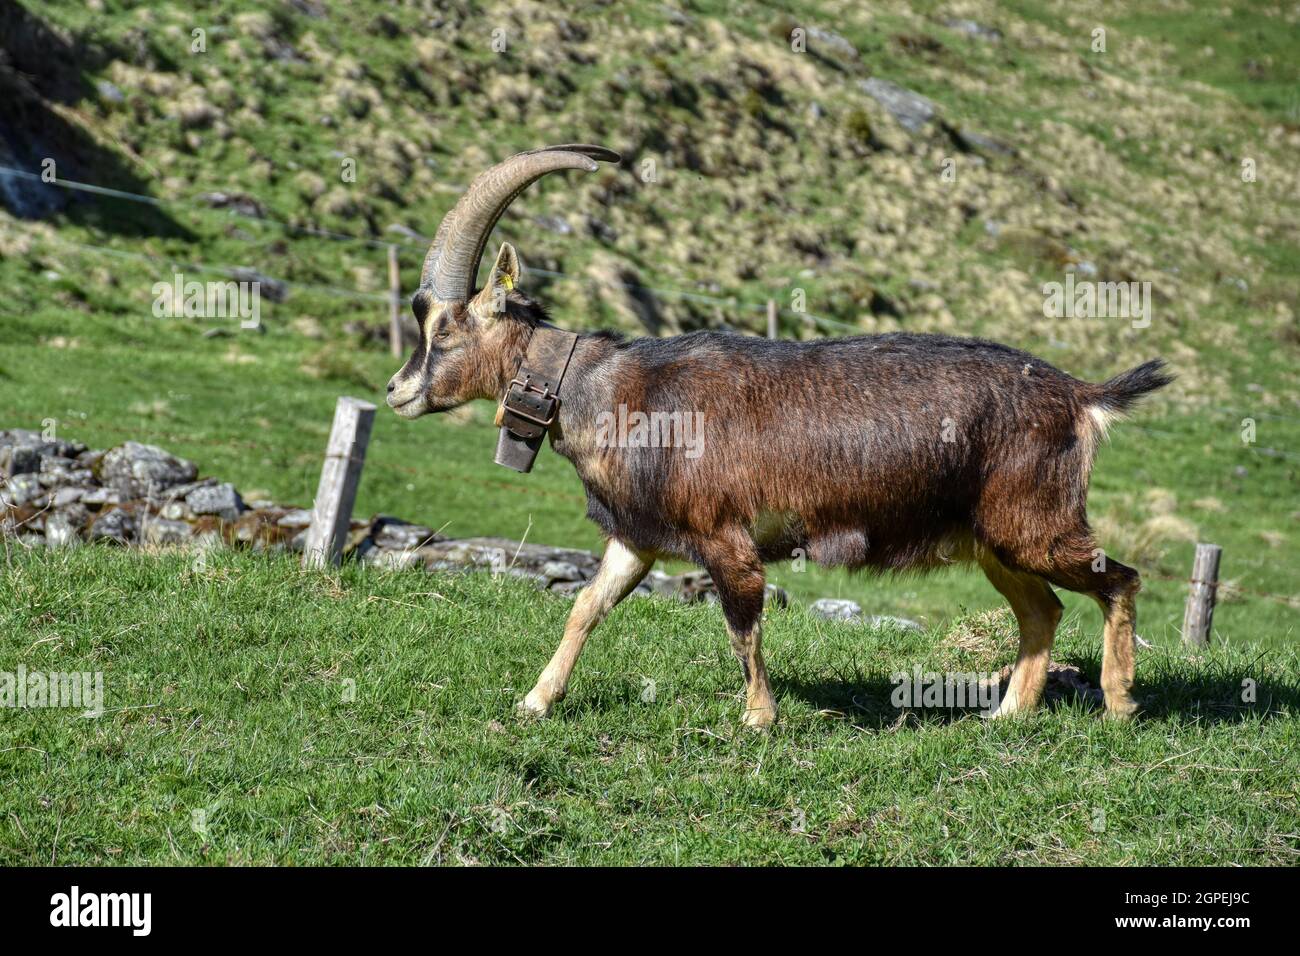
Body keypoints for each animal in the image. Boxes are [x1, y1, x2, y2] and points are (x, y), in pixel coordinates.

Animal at [387, 144, 1173, 728]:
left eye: (445, 329)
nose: (397, 390)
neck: (612, 391)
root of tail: (1081, 396)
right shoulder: (636, 536)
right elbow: (586, 606)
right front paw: (536, 700)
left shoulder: (723, 535)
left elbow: (742, 623)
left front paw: (758, 718)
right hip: (992, 537)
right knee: (1043, 608)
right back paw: (1008, 715)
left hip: (1036, 521)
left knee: (1119, 579)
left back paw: (1119, 703)